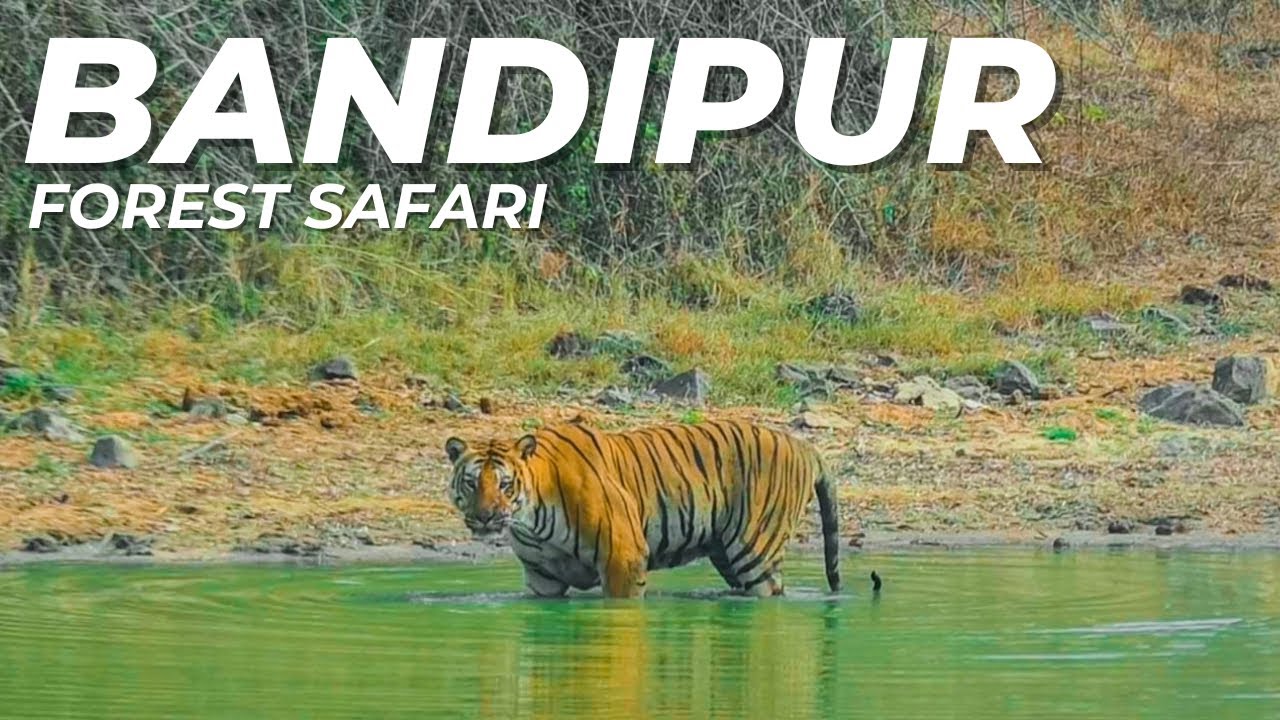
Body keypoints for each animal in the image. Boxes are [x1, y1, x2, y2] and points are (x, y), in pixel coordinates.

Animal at [444, 418, 842, 598]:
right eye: (472, 483)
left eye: (505, 484)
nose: (484, 517)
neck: (530, 520)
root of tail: (802, 444)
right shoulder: (543, 580)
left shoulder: (622, 557)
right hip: (728, 556)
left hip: (755, 552)